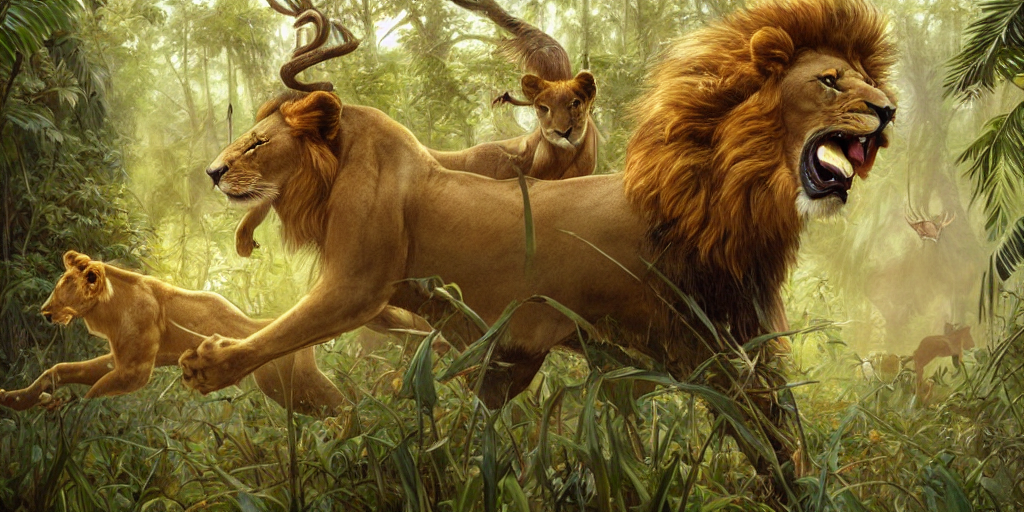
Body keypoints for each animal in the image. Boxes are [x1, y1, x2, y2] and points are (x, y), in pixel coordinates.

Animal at [0, 250, 428, 417]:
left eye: (63, 288)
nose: (45, 311)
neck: (106, 308)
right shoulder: (116, 359)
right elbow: (58, 369)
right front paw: (17, 398)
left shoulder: (135, 370)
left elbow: (94, 393)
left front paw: (65, 413)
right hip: (295, 388)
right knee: (339, 406)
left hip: (288, 386)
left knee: (339, 406)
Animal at [182, 0, 896, 490]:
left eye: (256, 143)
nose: (213, 172)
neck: (339, 166)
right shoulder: (449, 325)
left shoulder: (358, 280)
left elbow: (289, 325)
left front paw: (211, 363)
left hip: (706, 347)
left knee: (764, 429)